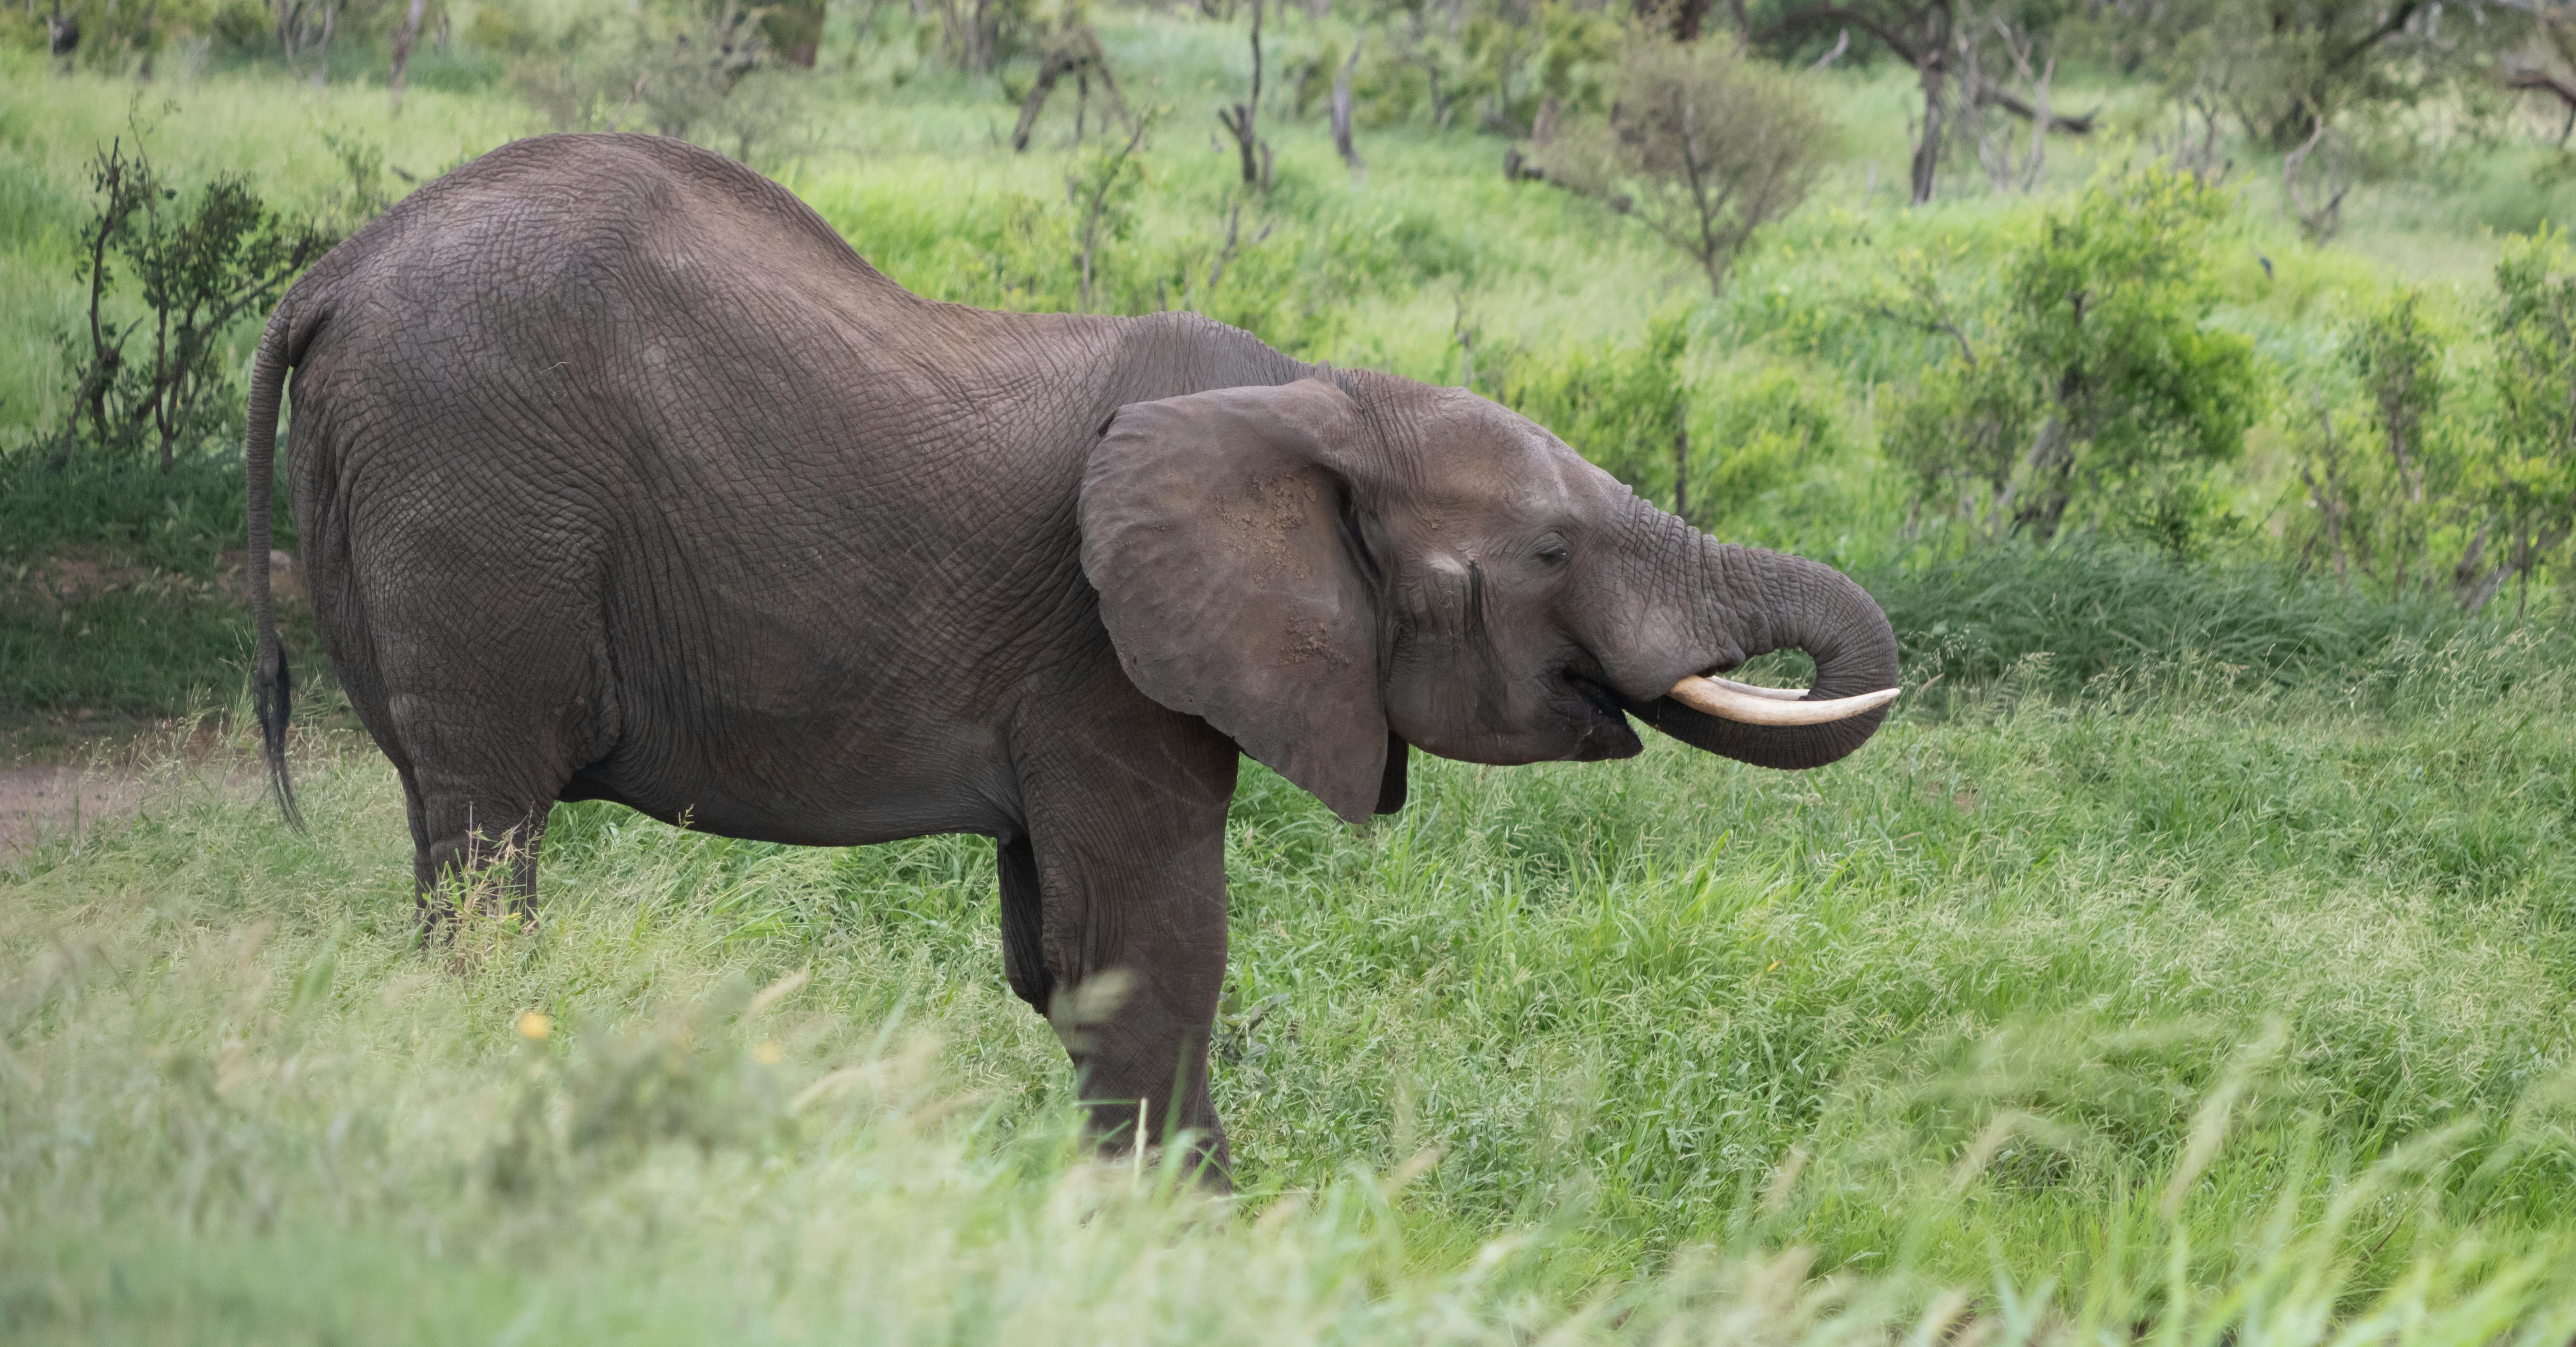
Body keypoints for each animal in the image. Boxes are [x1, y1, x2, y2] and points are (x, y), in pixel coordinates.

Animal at [242, 133, 1899, 1180]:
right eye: (1552, 551)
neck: (1308, 395)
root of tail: (333, 270)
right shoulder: (1103, 654)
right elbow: (1154, 952)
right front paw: (1204, 1236)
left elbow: (1061, 960)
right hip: (476, 494)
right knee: (488, 827)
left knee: (445, 817)